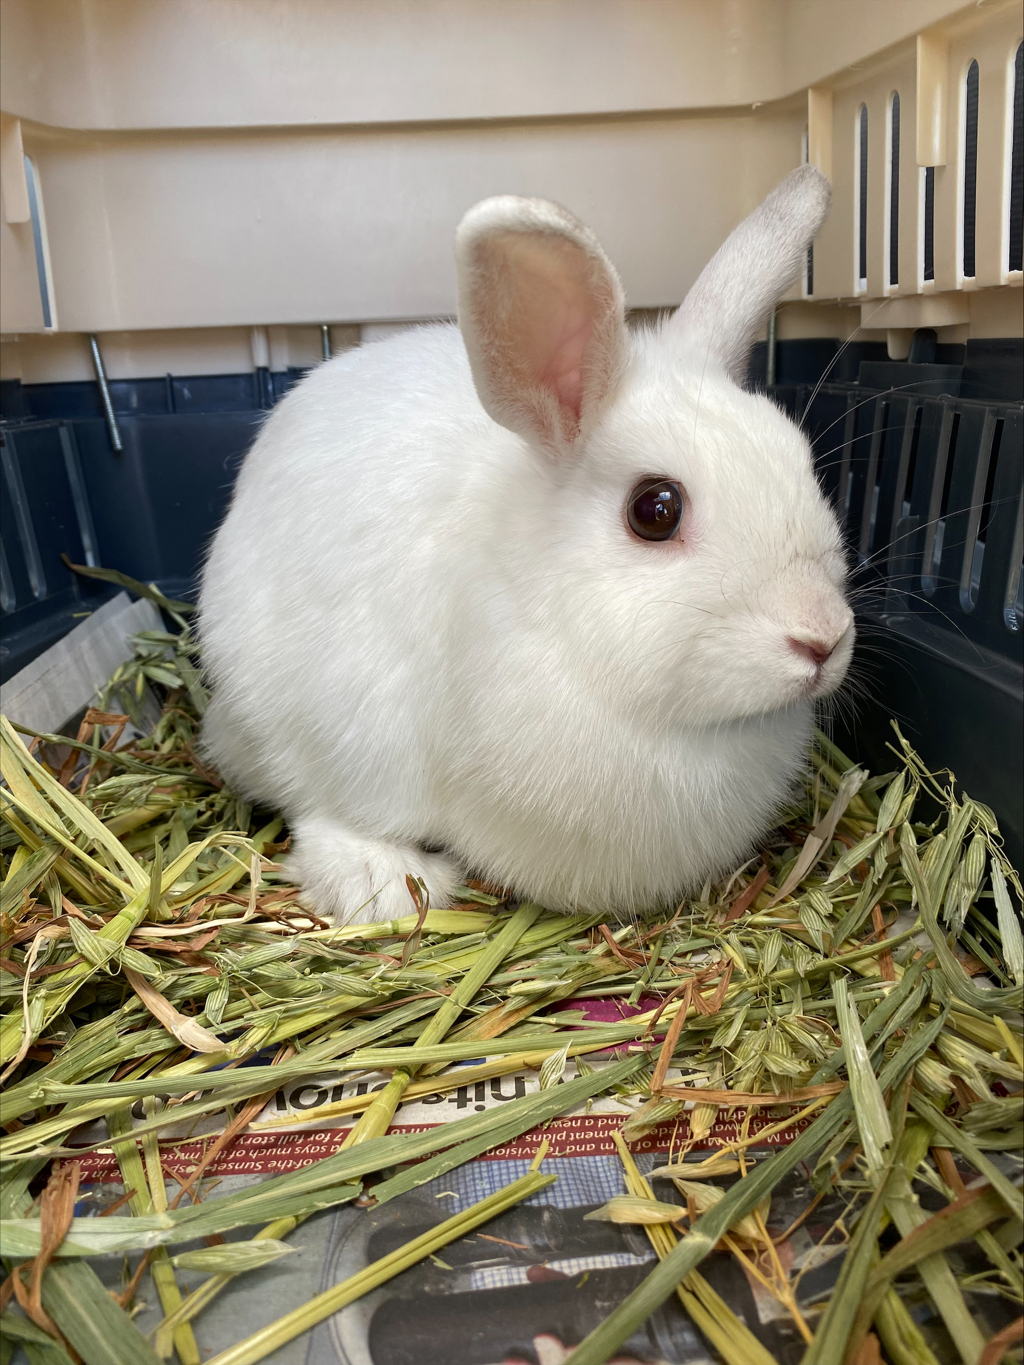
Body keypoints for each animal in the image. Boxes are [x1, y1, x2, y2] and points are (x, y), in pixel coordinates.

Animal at [198, 165, 853, 924]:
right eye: (655, 510)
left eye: (802, 460)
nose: (824, 636)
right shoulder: (342, 734)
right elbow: (328, 811)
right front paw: (382, 885)